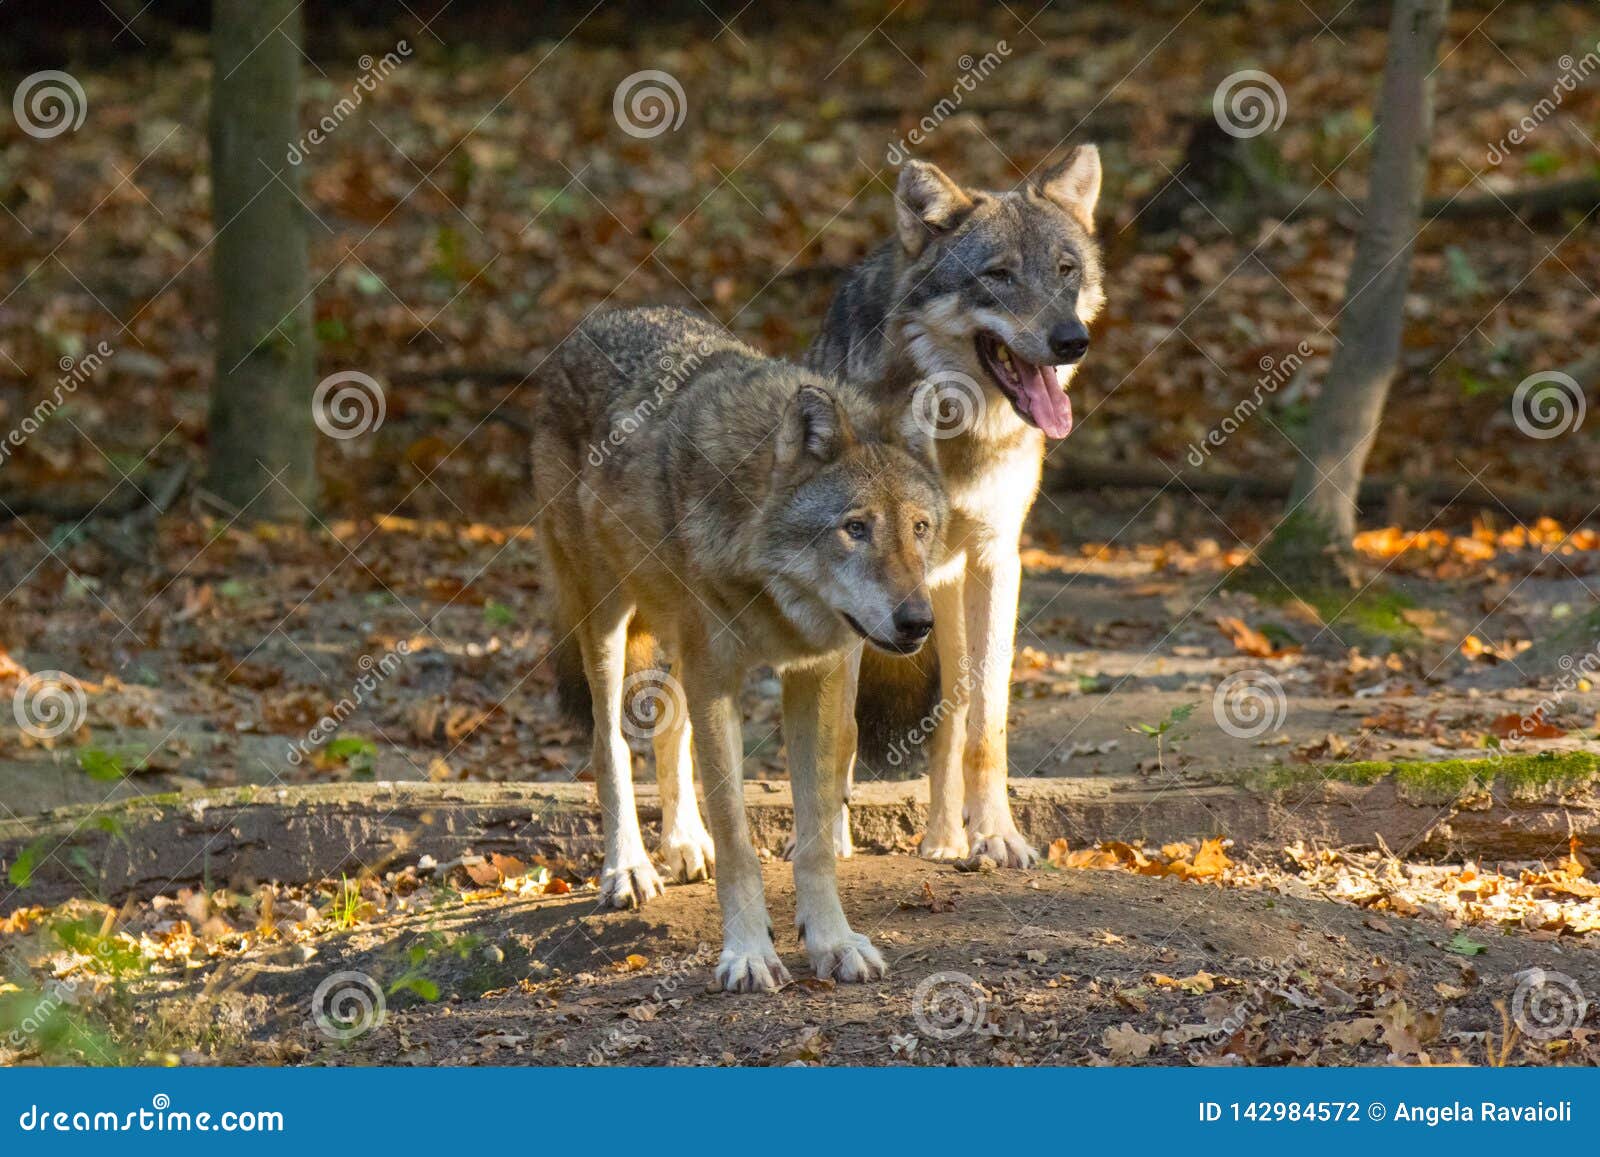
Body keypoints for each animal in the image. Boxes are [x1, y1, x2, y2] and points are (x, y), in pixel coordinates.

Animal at [532, 306, 946, 991]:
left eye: (920, 528)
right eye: (855, 528)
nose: (918, 622)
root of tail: (596, 320)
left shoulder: (814, 677)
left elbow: (814, 837)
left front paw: (832, 942)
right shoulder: (716, 679)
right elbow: (737, 839)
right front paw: (748, 953)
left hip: (675, 642)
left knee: (670, 729)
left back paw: (682, 844)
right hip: (606, 619)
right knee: (608, 742)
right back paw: (628, 869)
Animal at [807, 145, 1105, 867]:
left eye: (1065, 271)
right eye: (998, 275)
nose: (1071, 340)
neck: (955, 427)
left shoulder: (998, 559)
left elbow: (985, 725)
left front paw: (998, 835)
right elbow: (842, 725)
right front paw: (827, 839)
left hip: (948, 588)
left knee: (955, 713)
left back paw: (945, 840)